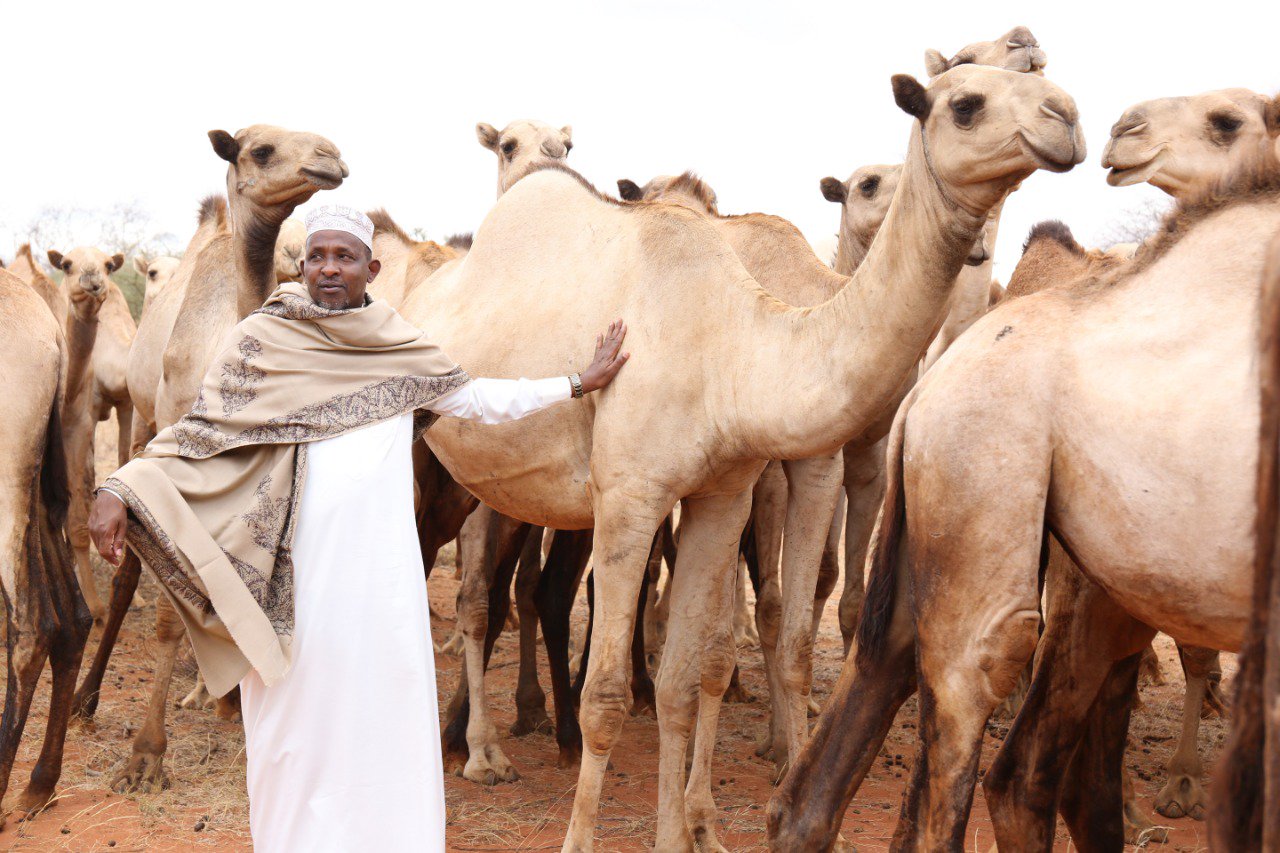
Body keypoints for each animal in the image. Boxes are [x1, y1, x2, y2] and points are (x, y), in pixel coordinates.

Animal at [70, 126, 346, 793]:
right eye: (261, 150)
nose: (329, 156)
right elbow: (171, 611)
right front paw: (146, 755)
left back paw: (220, 700)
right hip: (143, 418)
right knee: (128, 573)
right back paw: (89, 699)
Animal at [396, 65, 1082, 849]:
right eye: (966, 104)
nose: (1066, 119)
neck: (730, 346)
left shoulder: (722, 495)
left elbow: (680, 682)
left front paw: (679, 833)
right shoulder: (629, 496)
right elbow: (607, 696)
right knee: (461, 589)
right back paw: (480, 755)